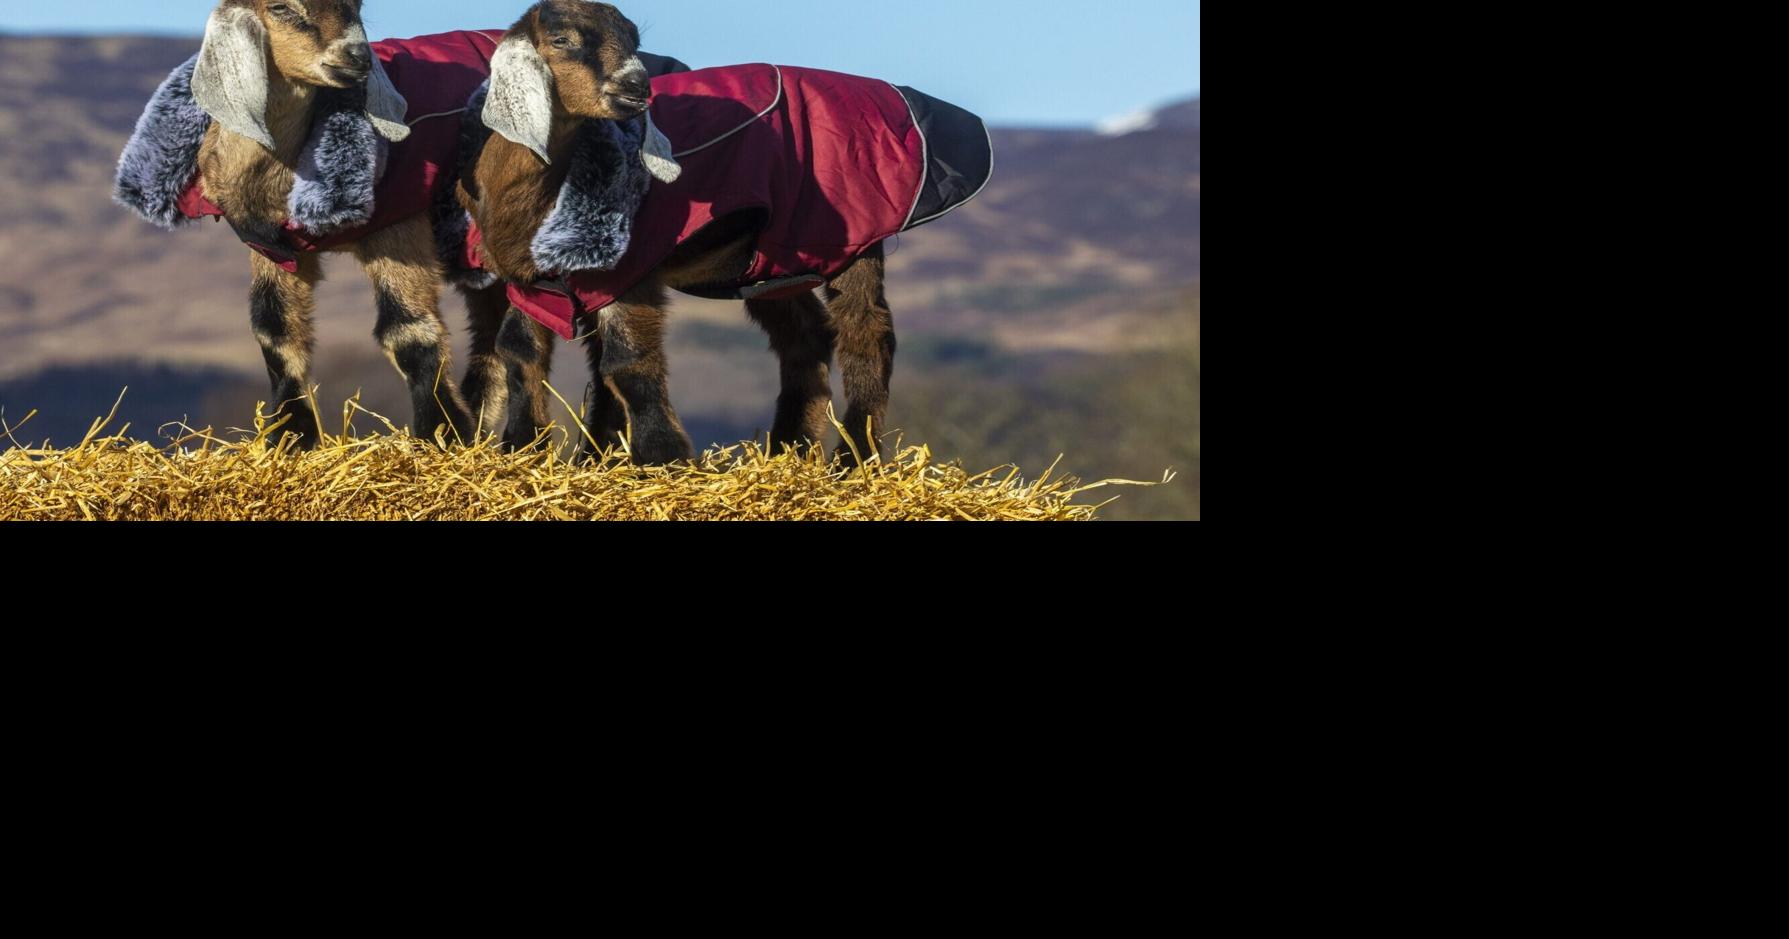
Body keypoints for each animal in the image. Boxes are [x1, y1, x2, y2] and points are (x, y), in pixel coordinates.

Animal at [460, 1, 902, 466]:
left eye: (635, 40)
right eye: (561, 40)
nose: (637, 86)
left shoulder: (630, 269)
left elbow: (627, 362)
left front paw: (661, 455)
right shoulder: (531, 279)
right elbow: (518, 348)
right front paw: (523, 448)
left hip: (856, 230)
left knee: (866, 333)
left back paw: (854, 459)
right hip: (768, 262)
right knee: (805, 335)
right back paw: (791, 449)